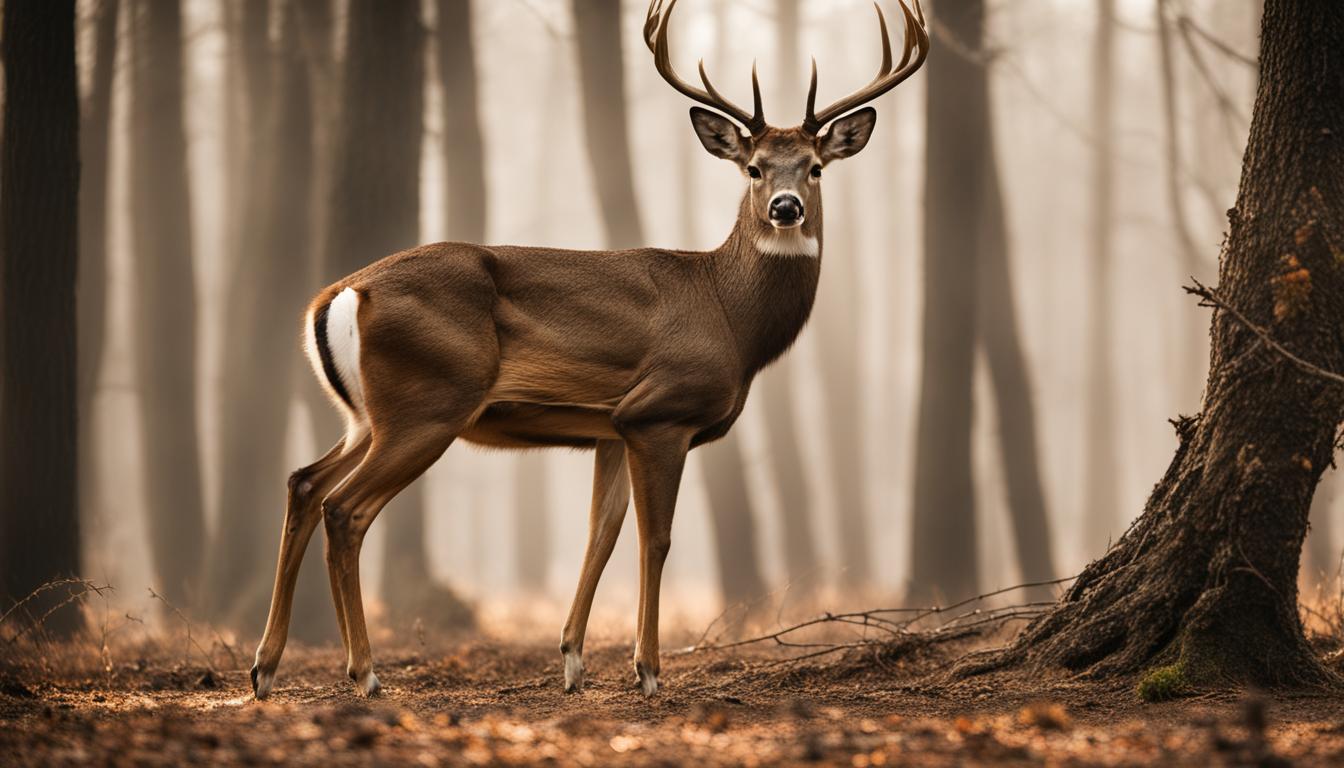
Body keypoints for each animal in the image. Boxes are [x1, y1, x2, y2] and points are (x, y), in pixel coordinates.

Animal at [250, 0, 928, 701]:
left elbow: (600, 534)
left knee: (304, 483)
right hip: (428, 403)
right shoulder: (660, 413)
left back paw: (266, 667)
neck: (730, 318)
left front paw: (573, 659)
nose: (786, 207)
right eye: (754, 167)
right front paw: (648, 670)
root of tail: (339, 294)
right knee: (344, 509)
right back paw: (364, 673)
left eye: (815, 167)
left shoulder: (608, 428)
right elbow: (654, 540)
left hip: (365, 416)